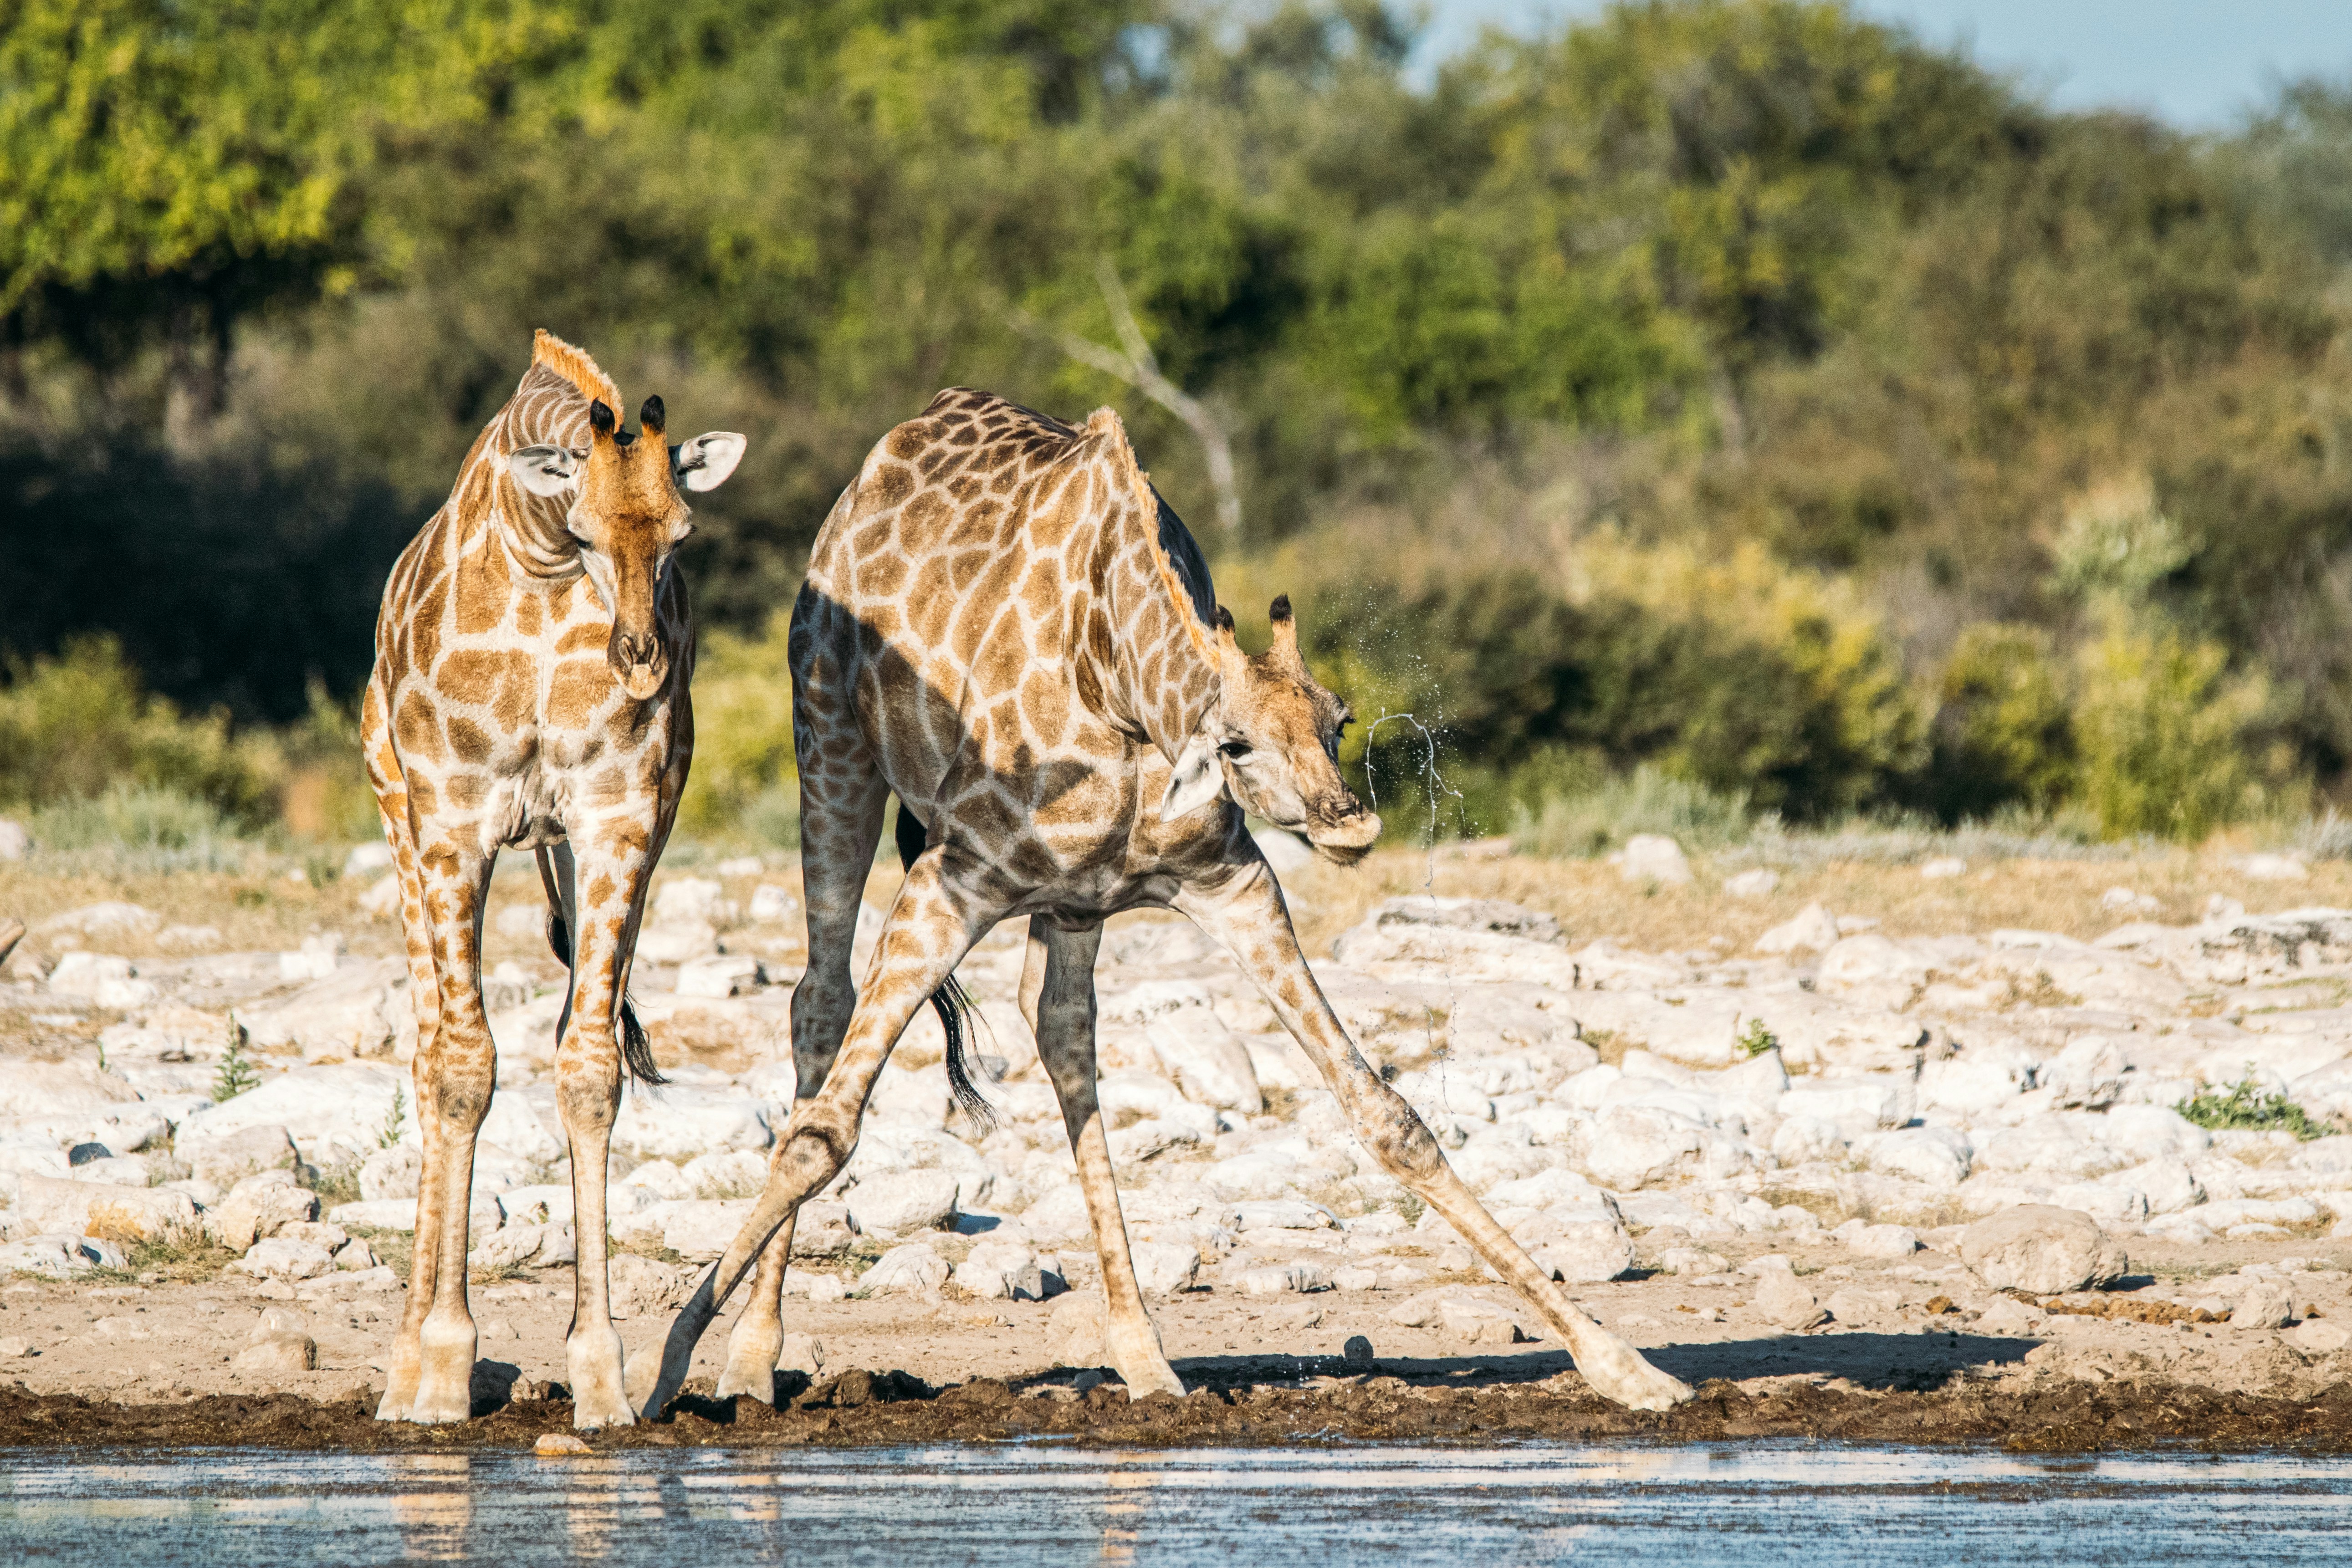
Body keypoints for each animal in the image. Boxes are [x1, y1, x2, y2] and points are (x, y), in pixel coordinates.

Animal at [362, 330, 745, 1427]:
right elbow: (462, 1068)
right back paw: (401, 1371)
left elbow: (588, 1070)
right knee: (426, 1050)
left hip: (573, 846)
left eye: (682, 531)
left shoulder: (619, 820)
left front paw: (602, 1373)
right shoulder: (453, 819)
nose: (642, 659)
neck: (534, 573)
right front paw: (444, 1365)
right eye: (578, 529)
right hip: (399, 822)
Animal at [635, 387, 1692, 1416]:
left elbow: (1388, 1114)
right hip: (830, 748)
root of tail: (870, 472)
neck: (1116, 682)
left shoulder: (1232, 879)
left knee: (1059, 1030)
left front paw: (1626, 1367)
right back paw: (751, 1363)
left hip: (1070, 904)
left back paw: (1143, 1358)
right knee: (819, 1000)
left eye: (1338, 719)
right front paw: (666, 1365)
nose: (1348, 821)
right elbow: (821, 1133)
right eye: (1235, 743)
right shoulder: (953, 876)